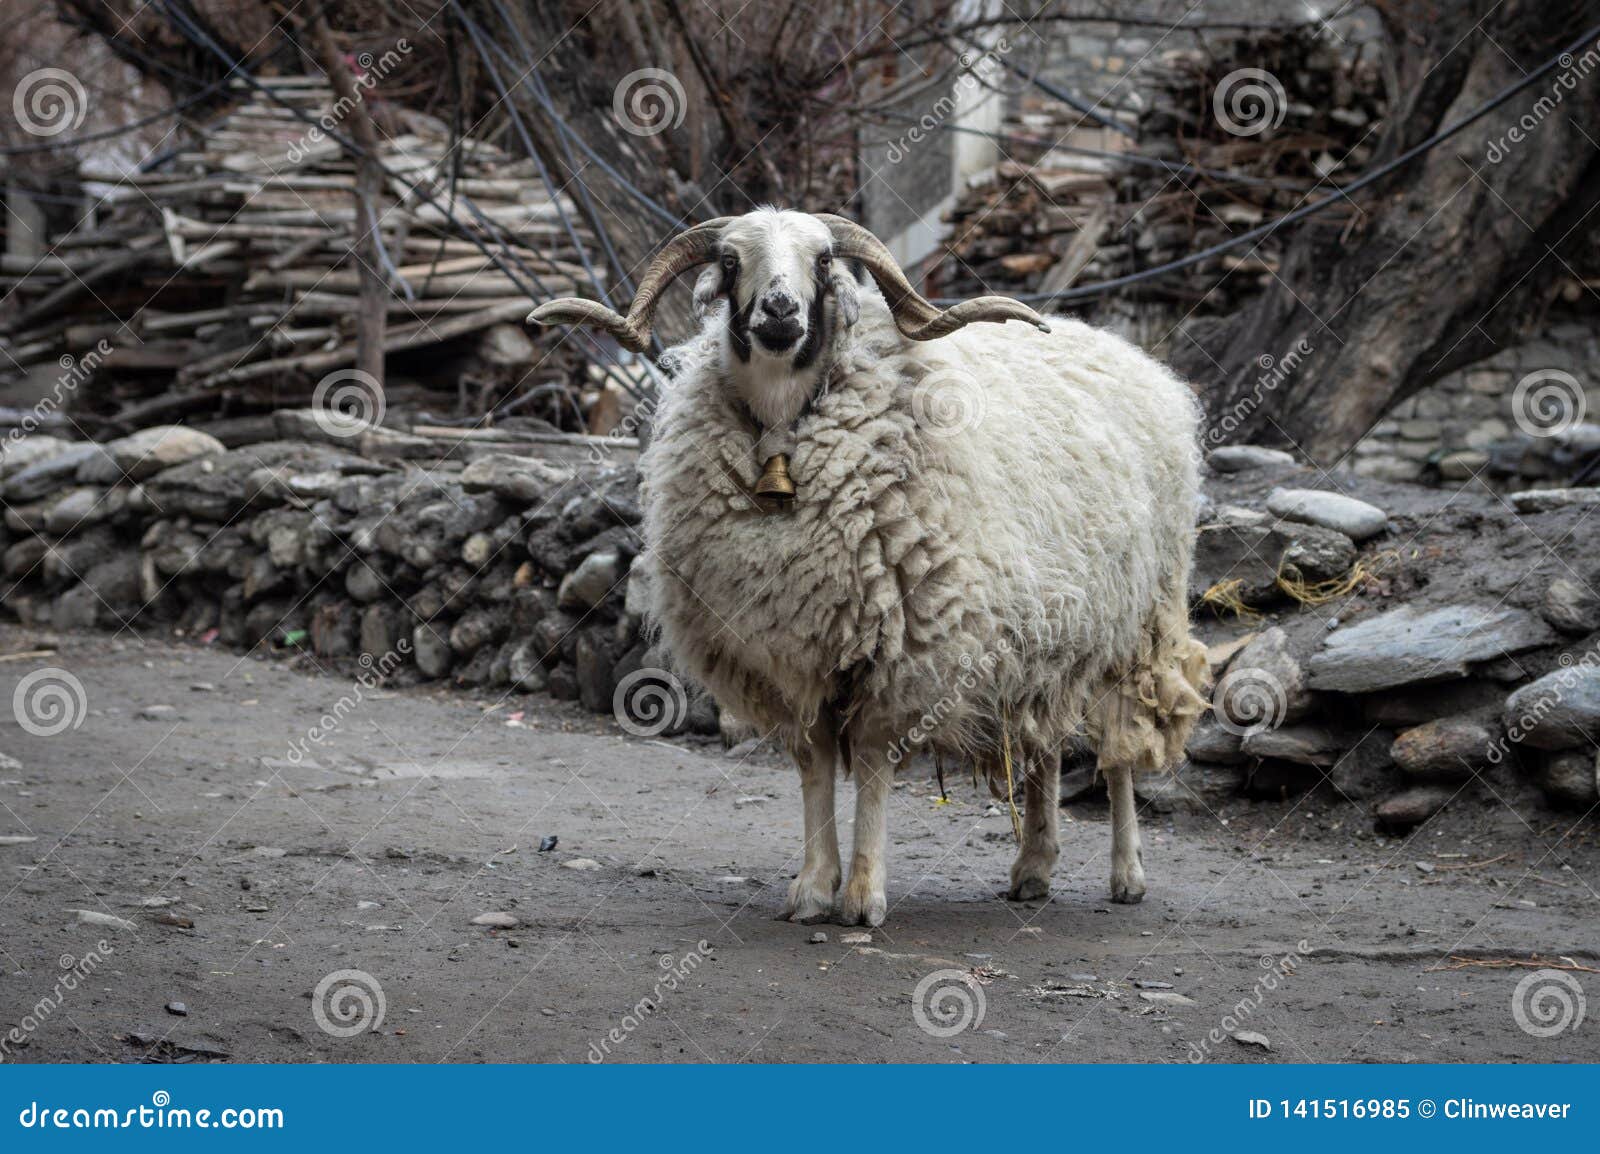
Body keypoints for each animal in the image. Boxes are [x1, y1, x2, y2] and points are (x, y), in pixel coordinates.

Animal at [531, 208, 1209, 926]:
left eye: (826, 259)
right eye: (730, 259)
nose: (780, 309)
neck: (785, 436)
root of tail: (1133, 357)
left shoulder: (899, 652)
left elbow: (877, 767)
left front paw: (861, 896)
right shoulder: (792, 654)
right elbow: (815, 766)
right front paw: (811, 886)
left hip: (1137, 625)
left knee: (1122, 751)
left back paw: (1127, 872)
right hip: (1044, 633)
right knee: (1044, 744)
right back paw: (1034, 867)